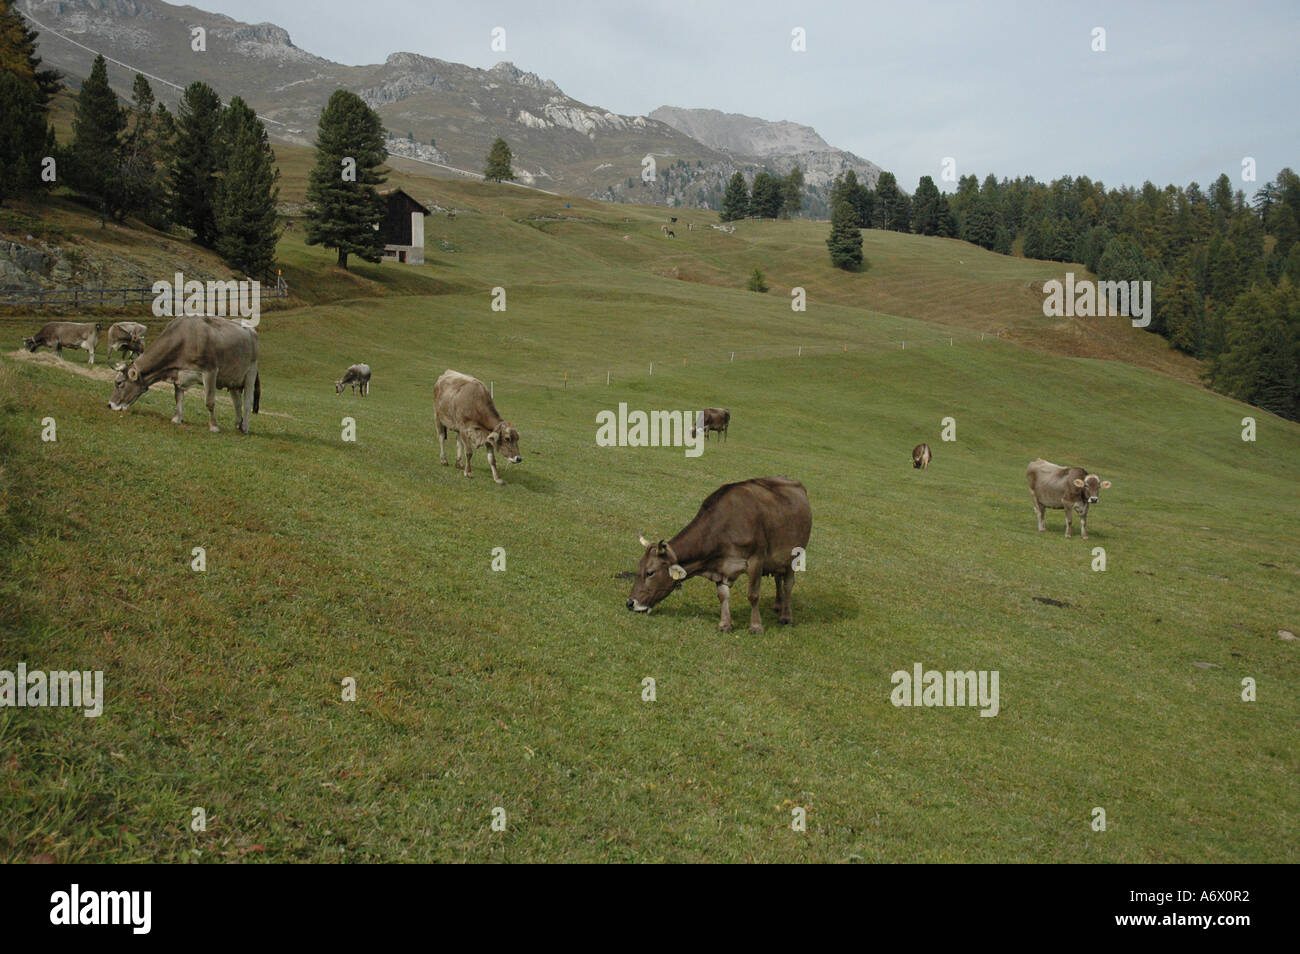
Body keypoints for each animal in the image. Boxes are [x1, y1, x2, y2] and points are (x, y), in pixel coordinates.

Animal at [107, 316, 259, 434]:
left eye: (119, 383)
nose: (110, 405)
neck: (185, 339)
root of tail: (251, 329)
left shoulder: (210, 371)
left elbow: (210, 402)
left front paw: (214, 427)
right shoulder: (178, 374)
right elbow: (178, 397)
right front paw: (176, 419)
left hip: (251, 372)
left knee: (247, 402)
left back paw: (245, 427)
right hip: (233, 378)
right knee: (237, 401)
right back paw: (238, 424)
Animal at [626, 476, 812, 635]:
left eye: (650, 572)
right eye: (638, 568)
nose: (630, 603)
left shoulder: (756, 560)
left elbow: (753, 595)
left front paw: (756, 626)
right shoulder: (720, 566)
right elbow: (722, 595)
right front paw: (725, 624)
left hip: (795, 555)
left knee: (788, 584)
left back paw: (786, 616)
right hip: (777, 559)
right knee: (778, 579)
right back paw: (778, 605)